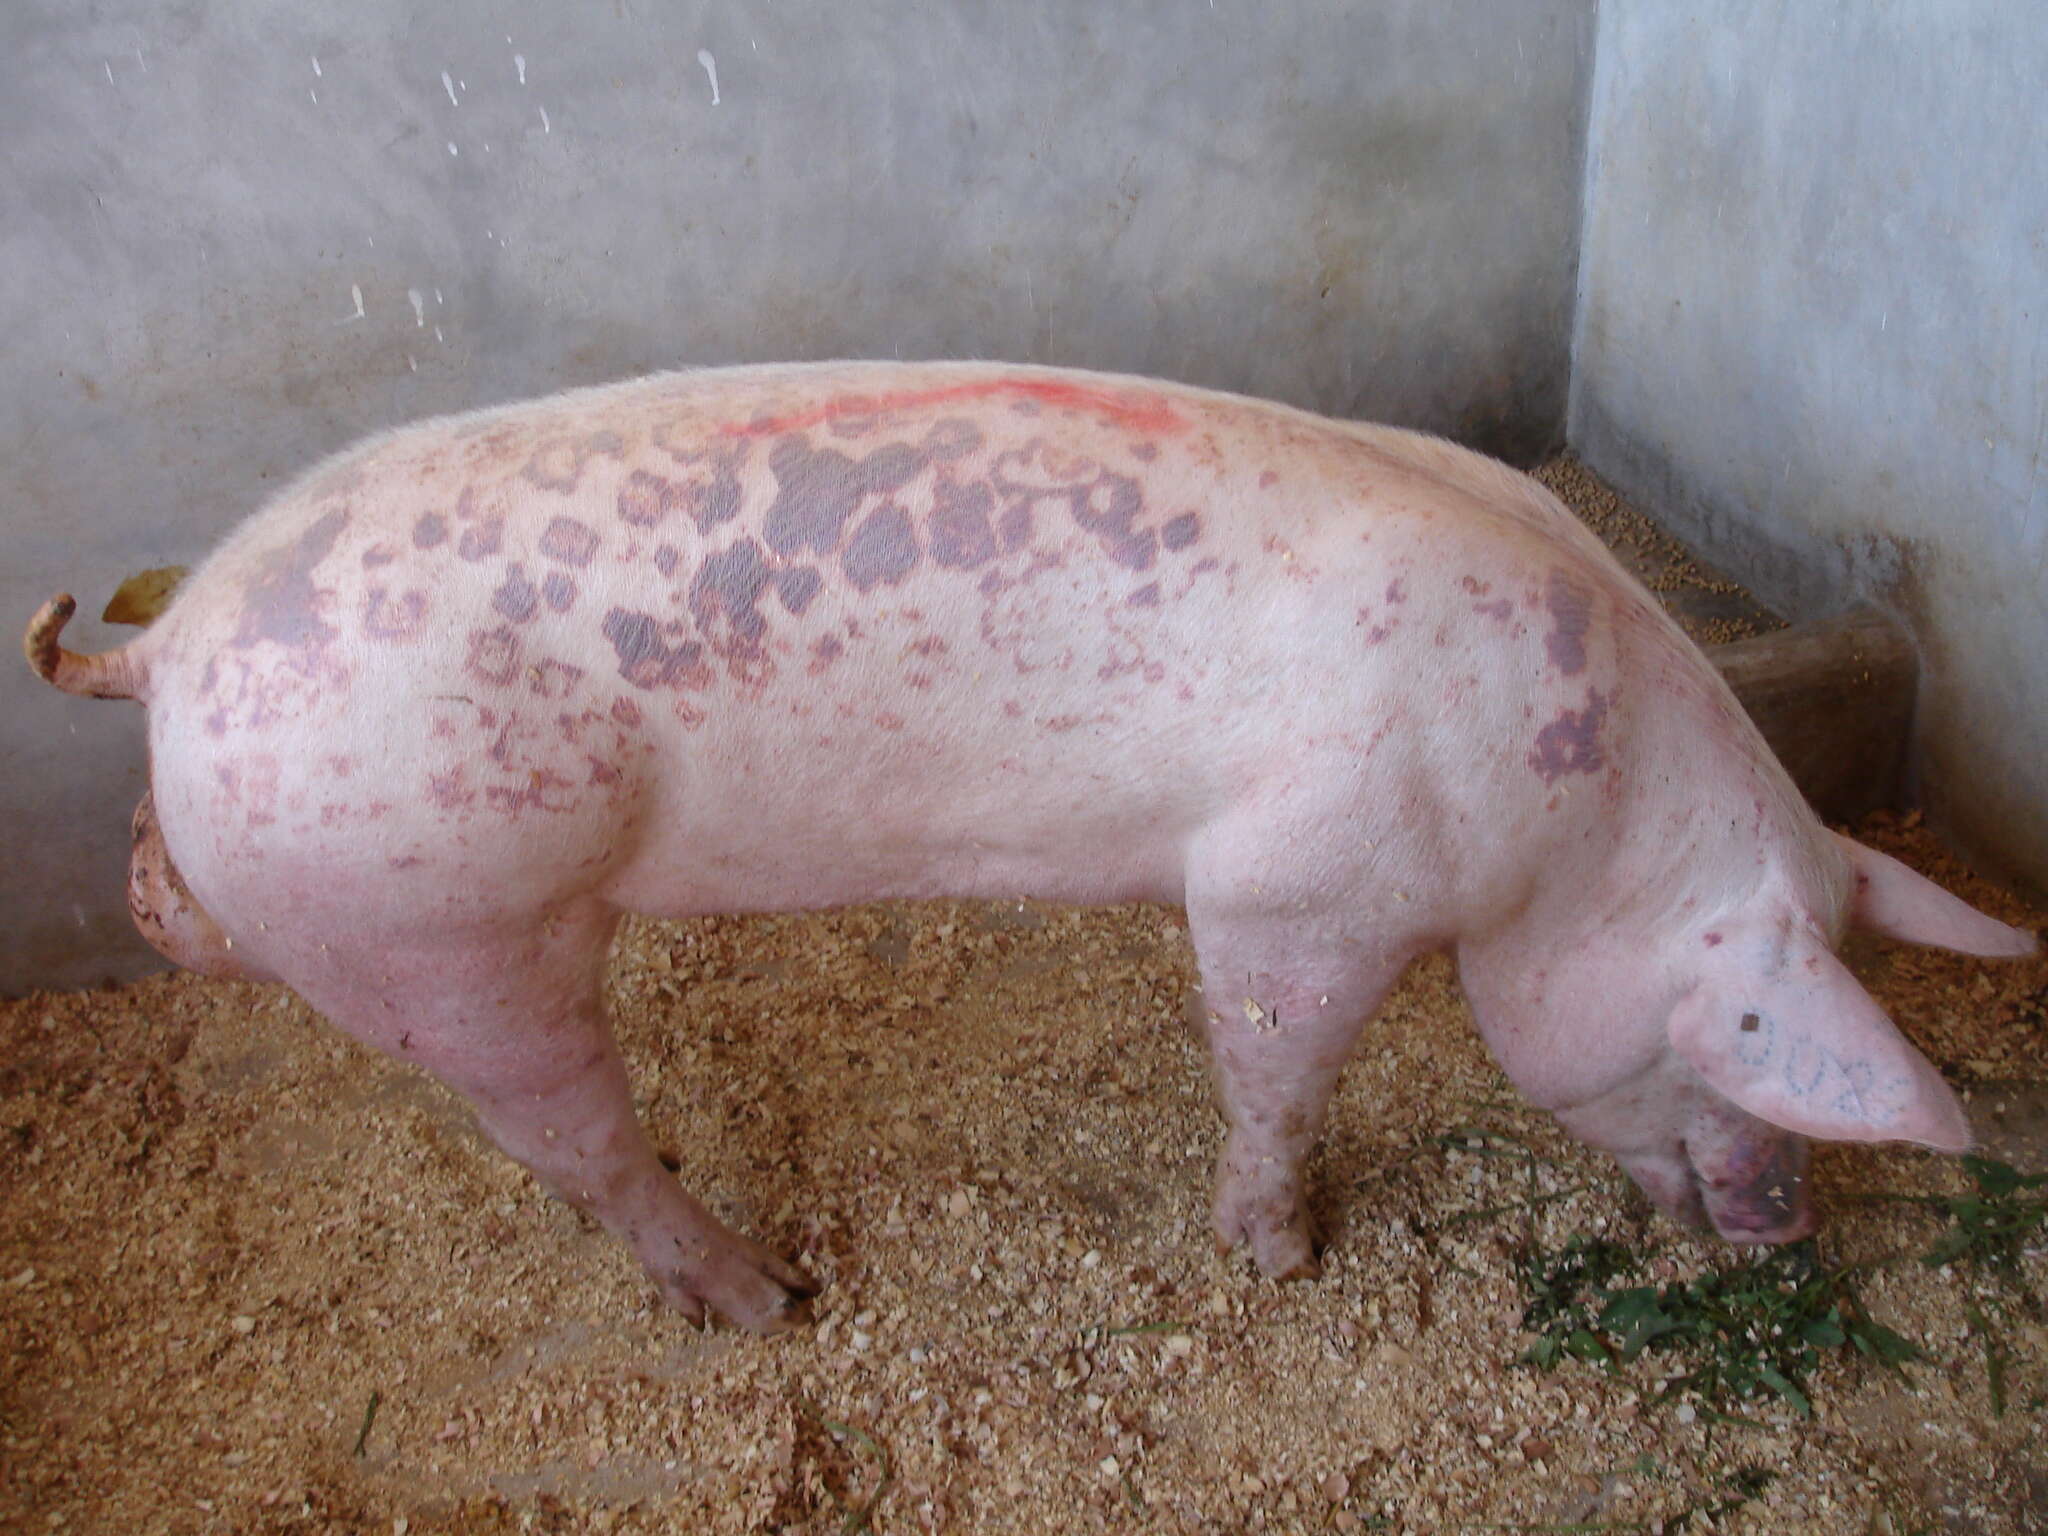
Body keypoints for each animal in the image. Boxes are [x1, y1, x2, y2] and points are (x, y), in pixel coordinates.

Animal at [26, 361, 2036, 1333]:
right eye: (1744, 1048)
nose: (1780, 1238)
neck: (1579, 797)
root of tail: (166, 647)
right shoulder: (1295, 886)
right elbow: (1273, 1067)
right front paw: (1278, 1260)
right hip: (443, 928)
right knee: (576, 1146)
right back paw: (767, 1303)